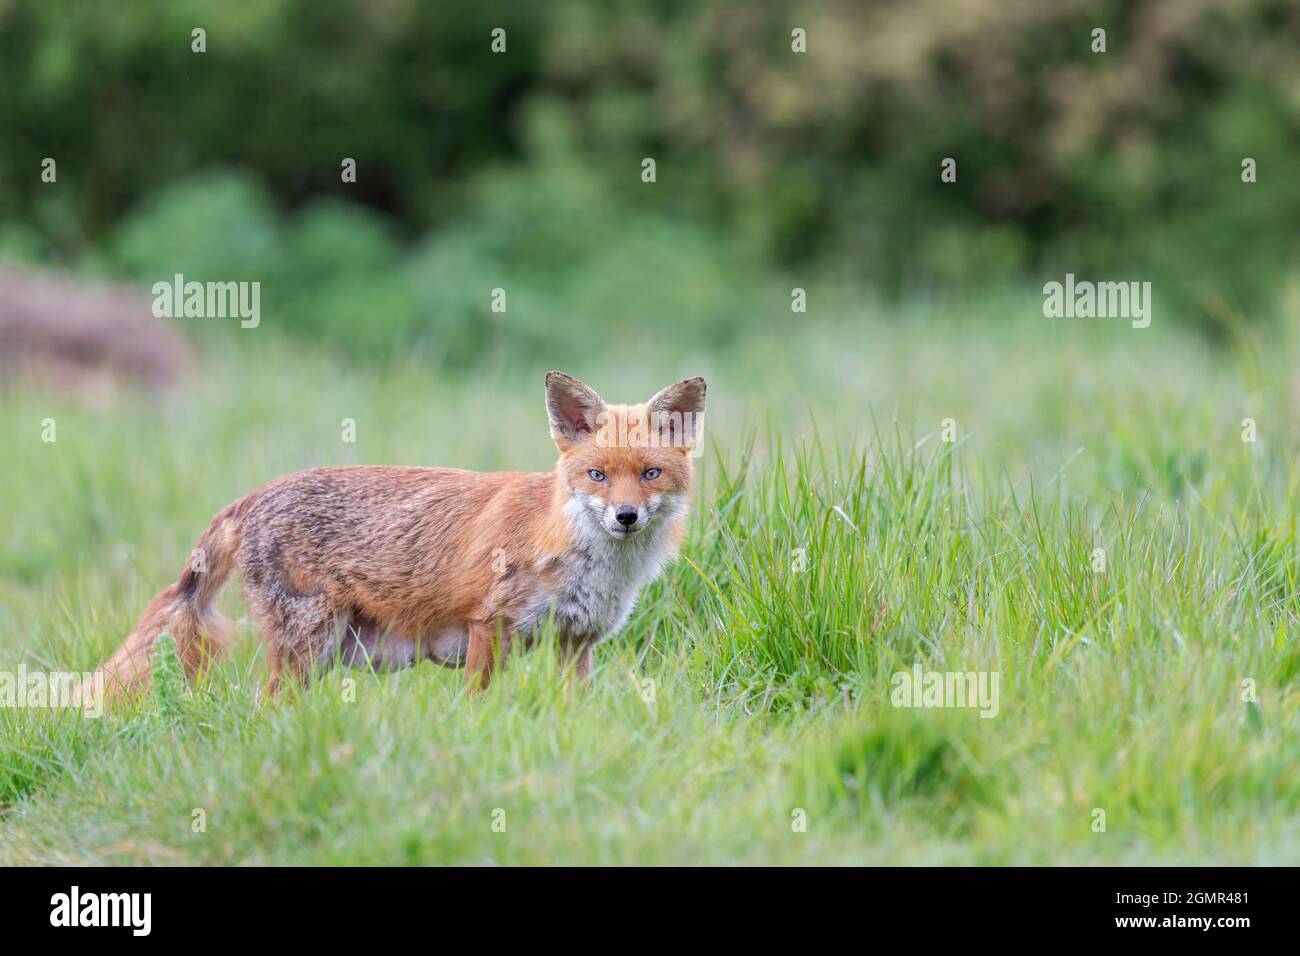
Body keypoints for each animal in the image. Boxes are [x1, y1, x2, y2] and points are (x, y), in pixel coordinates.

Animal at [74, 371, 706, 706]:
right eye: (597, 475)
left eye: (649, 474)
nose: (625, 516)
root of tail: (252, 495)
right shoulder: (489, 623)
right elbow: (478, 702)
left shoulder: (577, 642)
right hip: (308, 648)